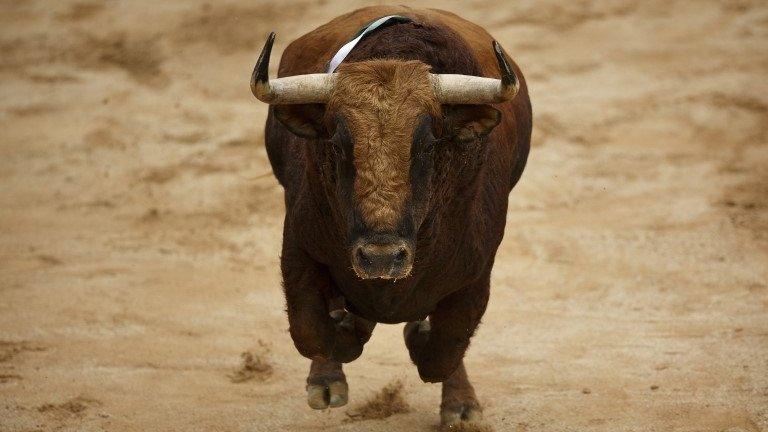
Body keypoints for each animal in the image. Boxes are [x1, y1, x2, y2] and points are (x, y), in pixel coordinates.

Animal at [250, 6, 531, 427]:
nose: (380, 258)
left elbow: (445, 348)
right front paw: (344, 340)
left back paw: (460, 404)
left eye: (428, 145)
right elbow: (311, 330)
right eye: (338, 143)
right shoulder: (298, 247)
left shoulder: (475, 274)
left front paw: (426, 349)